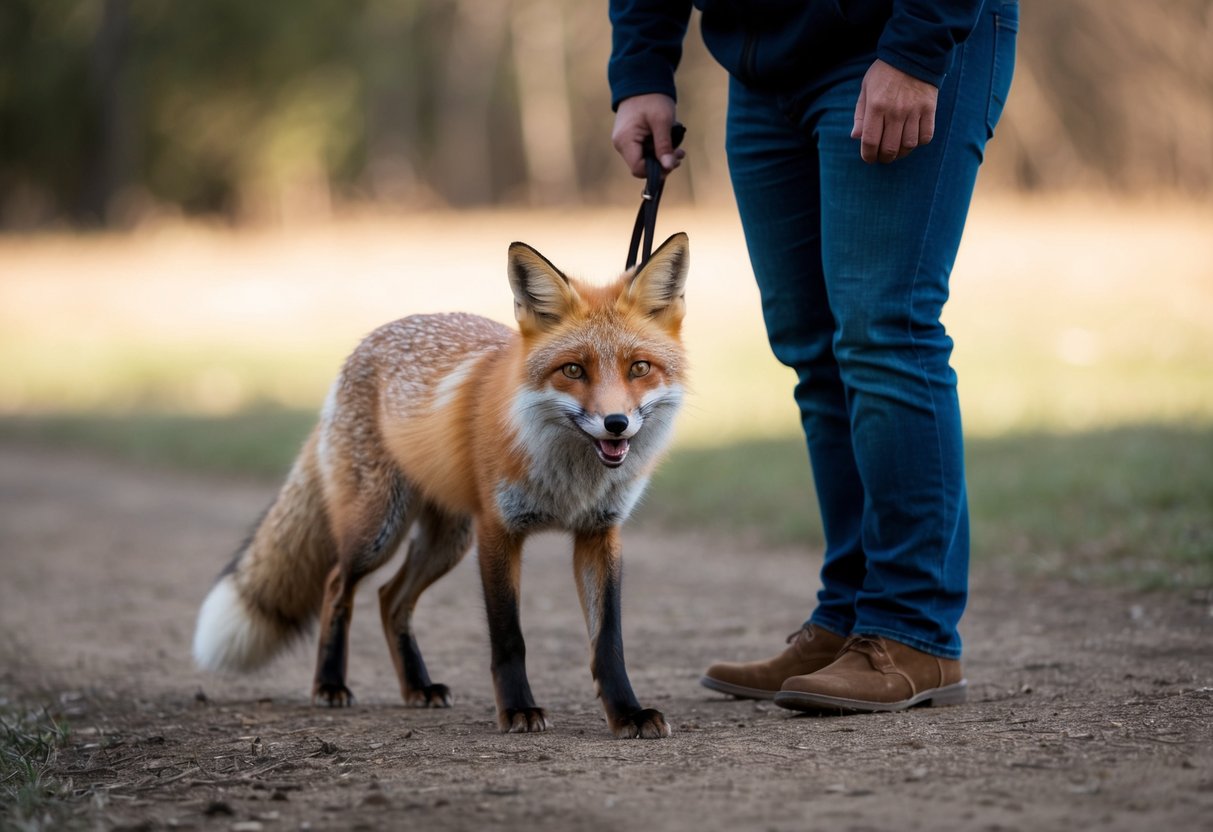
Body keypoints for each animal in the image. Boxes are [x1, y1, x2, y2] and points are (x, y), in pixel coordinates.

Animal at [192, 233, 689, 739]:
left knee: (390, 600)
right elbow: (509, 638)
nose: (616, 423)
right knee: (337, 586)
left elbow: (608, 643)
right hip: (379, 531)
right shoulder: (498, 530)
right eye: (573, 370)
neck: (570, 483)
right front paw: (518, 710)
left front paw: (627, 712)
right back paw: (330, 684)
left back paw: (418, 687)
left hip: (447, 540)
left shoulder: (598, 533)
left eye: (639, 368)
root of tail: (363, 345)